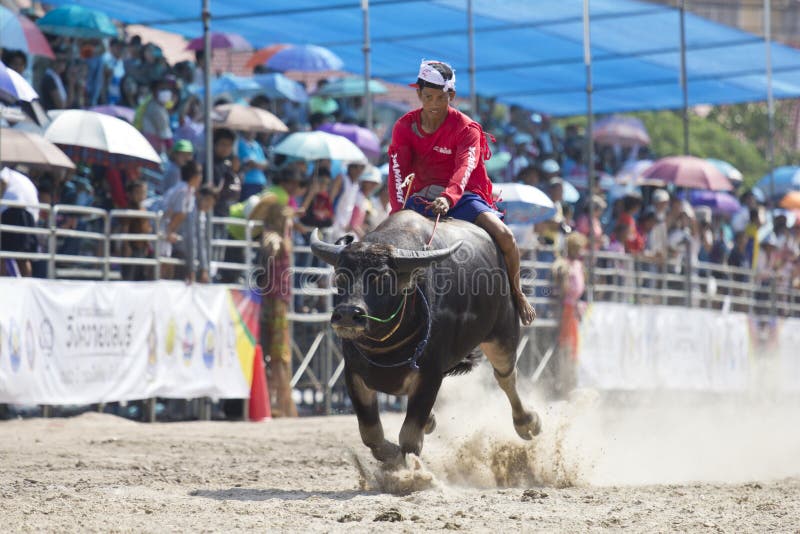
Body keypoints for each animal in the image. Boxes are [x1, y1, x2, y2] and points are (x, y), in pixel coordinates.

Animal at [311, 210, 541, 464]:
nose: (348, 315)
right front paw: (391, 456)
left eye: (382, 278)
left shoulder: (430, 374)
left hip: (502, 335)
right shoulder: (353, 373)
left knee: (506, 376)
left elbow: (410, 437)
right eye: (341, 276)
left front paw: (409, 467)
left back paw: (527, 422)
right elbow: (371, 433)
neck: (386, 345)